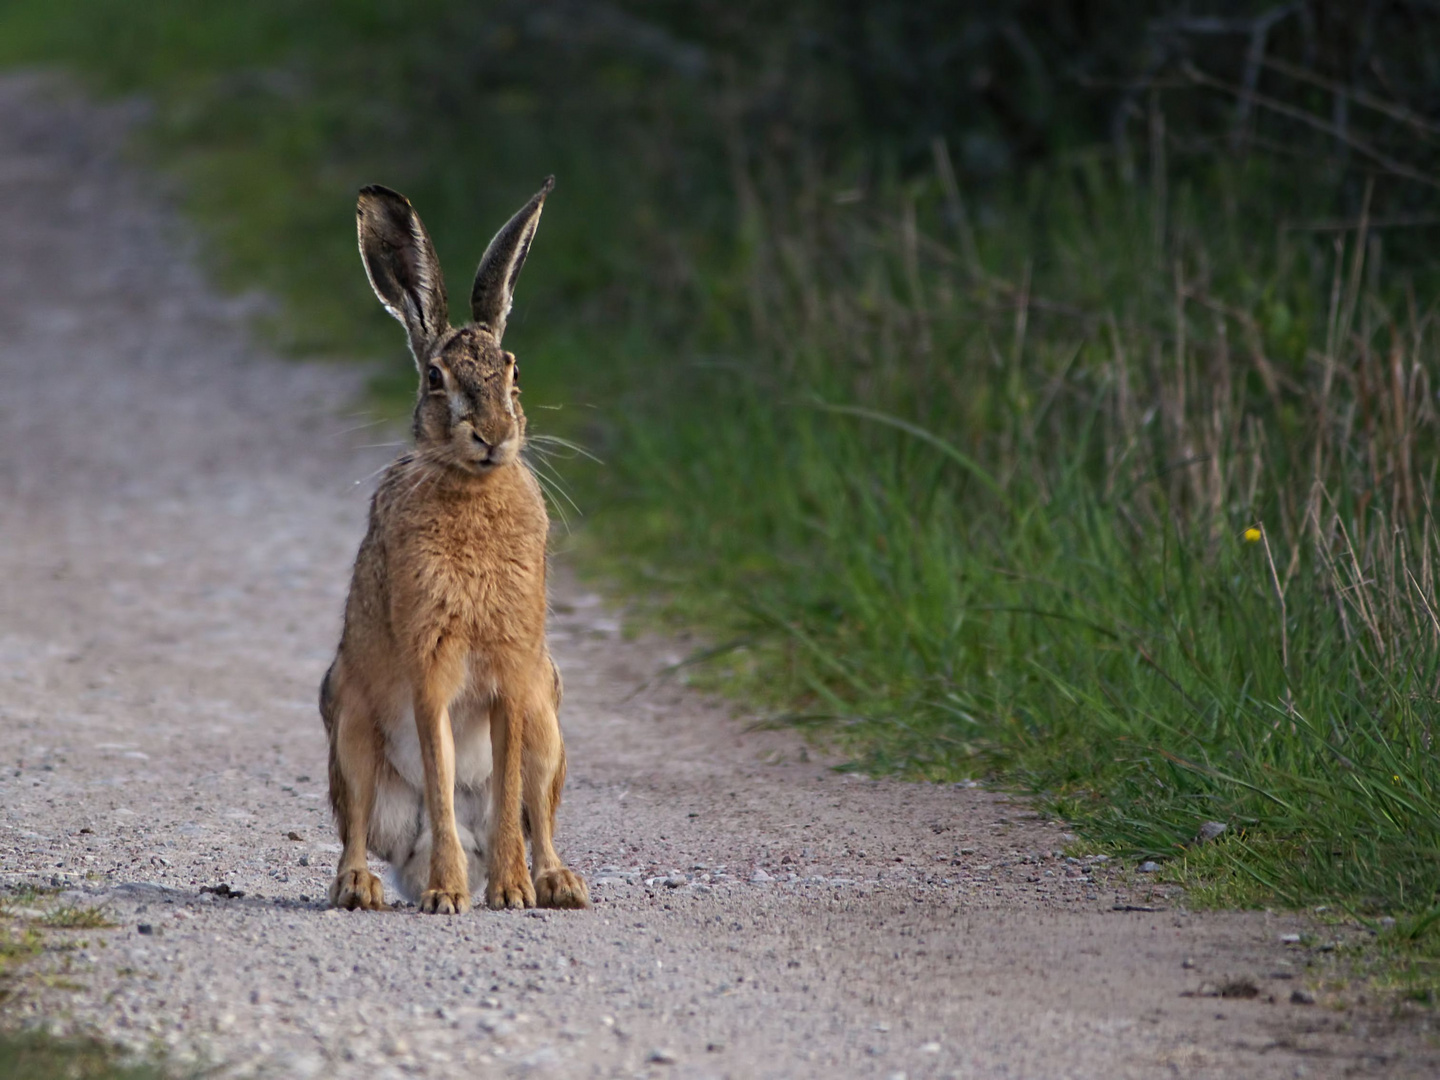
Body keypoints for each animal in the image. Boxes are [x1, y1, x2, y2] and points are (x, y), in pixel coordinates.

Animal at [319, 177, 588, 914]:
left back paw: (557, 882)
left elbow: (507, 789)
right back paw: (364, 887)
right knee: (357, 826)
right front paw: (448, 894)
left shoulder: (513, 672)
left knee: (537, 812)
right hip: (349, 723)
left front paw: (512, 891)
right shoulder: (429, 663)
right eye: (436, 379)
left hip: (549, 723)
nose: (493, 434)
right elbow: (440, 778)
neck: (472, 486)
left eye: (513, 372)